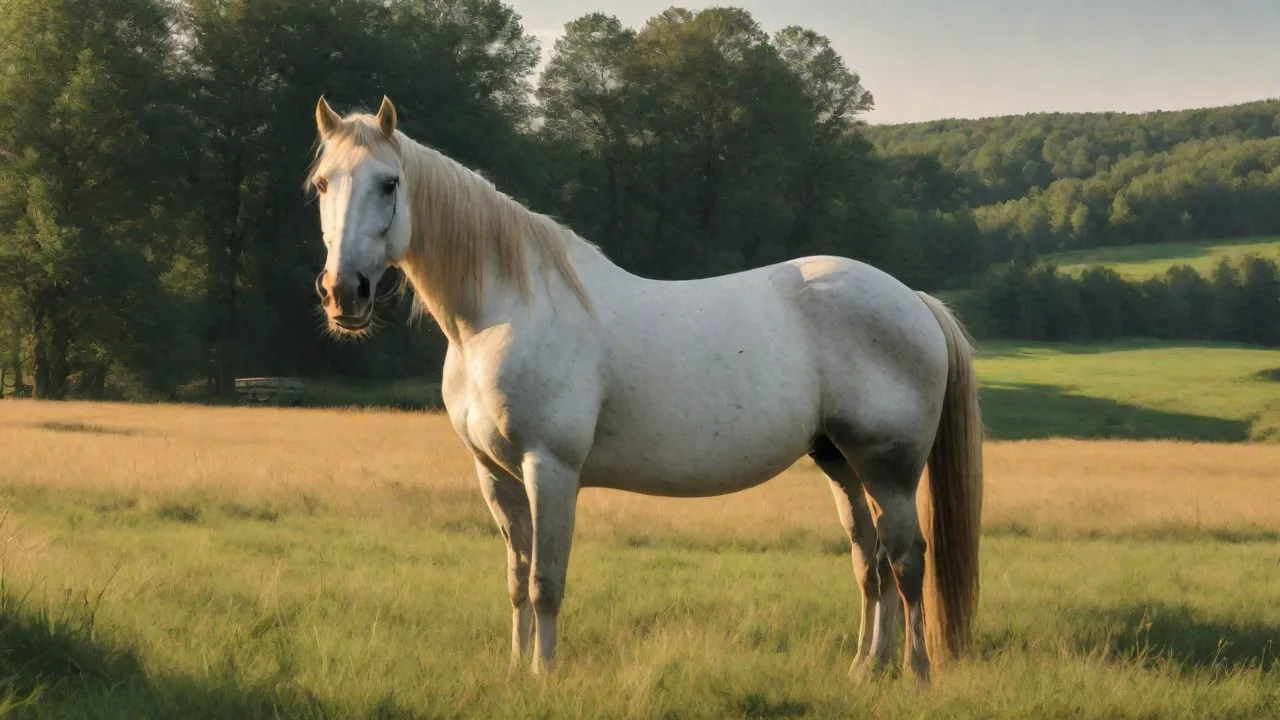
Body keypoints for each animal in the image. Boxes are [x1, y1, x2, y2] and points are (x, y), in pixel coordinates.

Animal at [306, 95, 984, 685]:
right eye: (321, 184)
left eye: (389, 183)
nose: (344, 294)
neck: (507, 312)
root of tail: (912, 299)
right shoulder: (494, 475)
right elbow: (516, 578)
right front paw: (516, 672)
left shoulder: (549, 469)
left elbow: (546, 582)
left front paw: (545, 676)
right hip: (839, 461)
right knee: (871, 564)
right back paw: (867, 669)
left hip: (889, 469)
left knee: (907, 561)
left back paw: (917, 674)